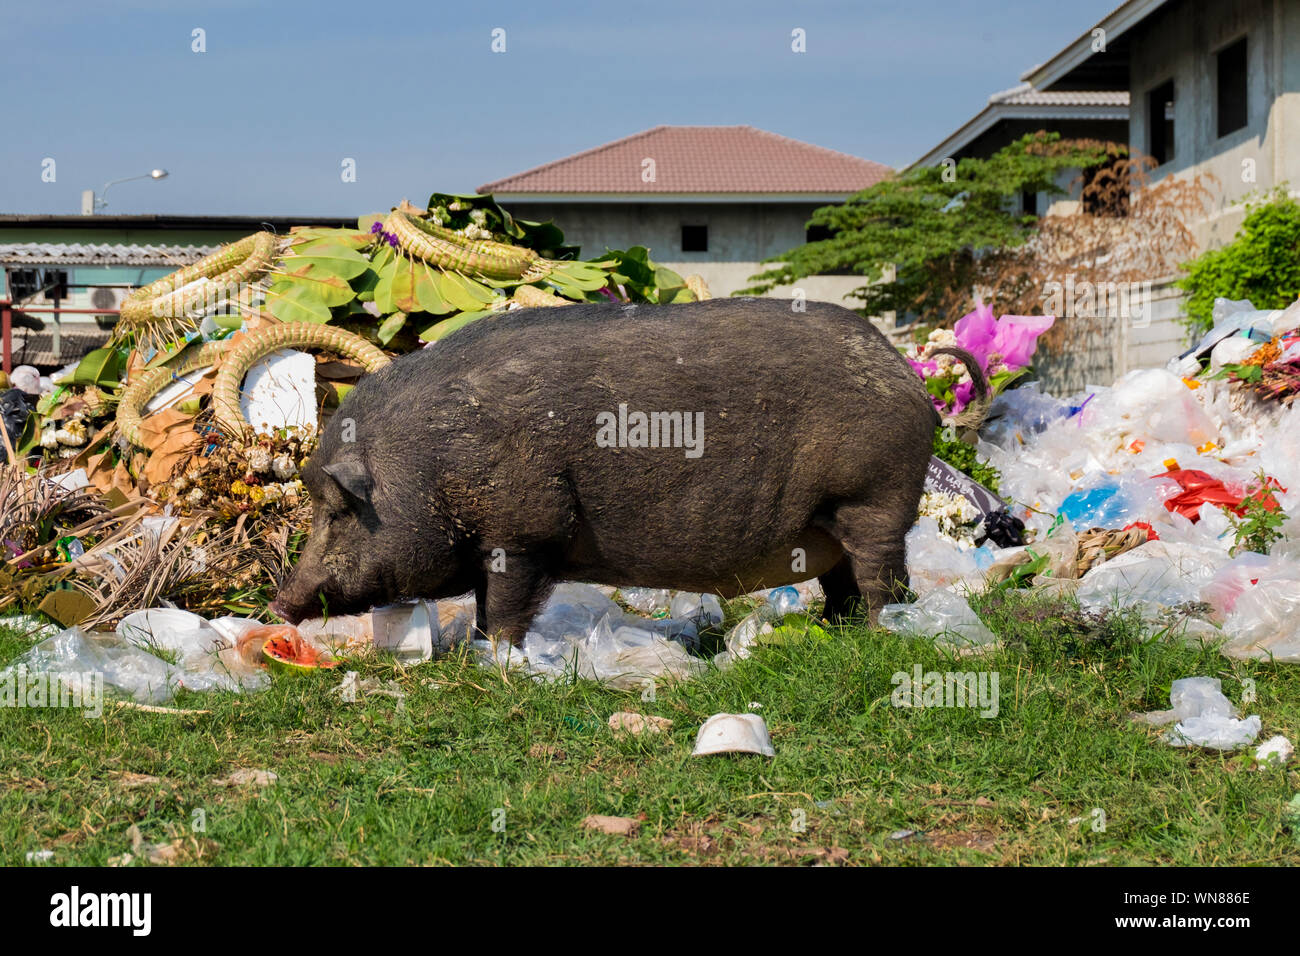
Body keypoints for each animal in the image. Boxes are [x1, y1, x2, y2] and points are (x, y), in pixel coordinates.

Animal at [270, 297, 987, 642]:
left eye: (338, 508)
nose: (280, 603)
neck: (427, 470)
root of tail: (904, 374)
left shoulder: (525, 531)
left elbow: (504, 606)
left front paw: (492, 660)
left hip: (872, 495)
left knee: (881, 574)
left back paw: (883, 634)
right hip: (828, 521)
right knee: (840, 582)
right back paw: (831, 633)